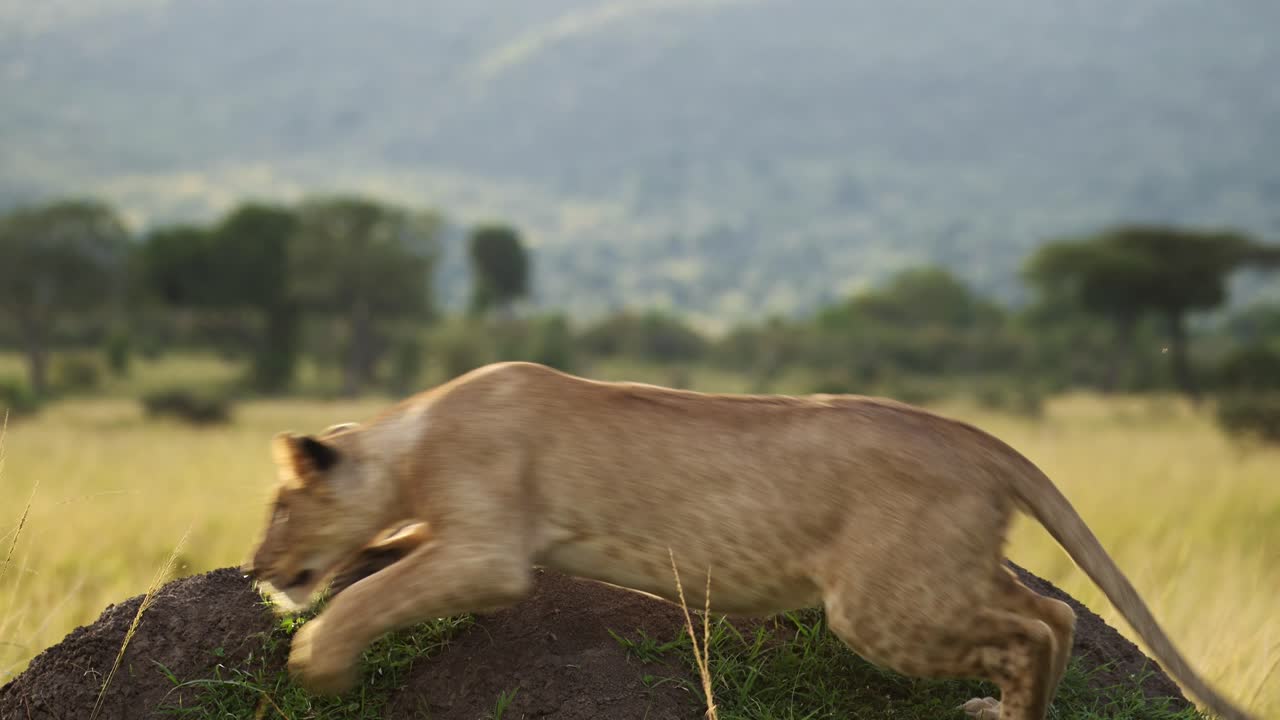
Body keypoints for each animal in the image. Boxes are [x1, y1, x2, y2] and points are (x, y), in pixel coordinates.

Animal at [242, 361, 1256, 720]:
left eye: (279, 506)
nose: (258, 567)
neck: (412, 440)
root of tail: (969, 434)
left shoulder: (489, 555)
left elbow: (382, 590)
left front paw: (317, 661)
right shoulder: (452, 532)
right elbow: (387, 559)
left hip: (877, 605)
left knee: (1031, 628)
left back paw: (1011, 715)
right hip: (935, 574)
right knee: (1053, 612)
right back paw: (1002, 710)